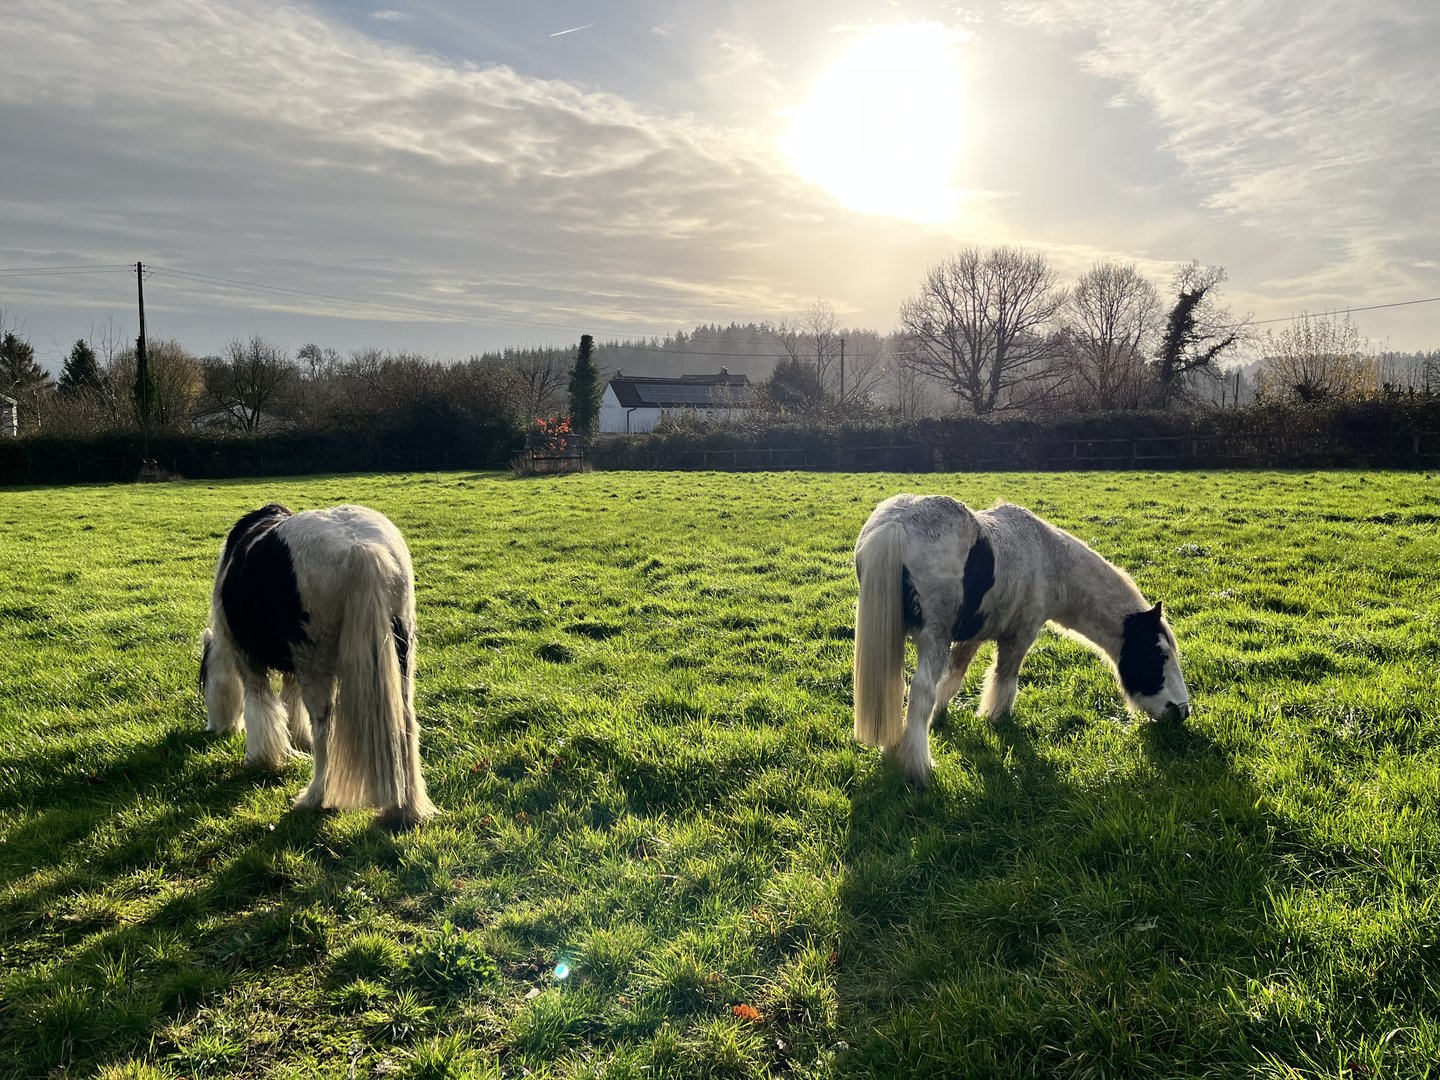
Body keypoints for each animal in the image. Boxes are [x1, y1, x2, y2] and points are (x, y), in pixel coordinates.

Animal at [201, 503, 437, 827]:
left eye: (204, 682)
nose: (214, 729)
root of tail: (363, 549)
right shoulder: (293, 664)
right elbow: (290, 700)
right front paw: (297, 741)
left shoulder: (249, 660)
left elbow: (261, 706)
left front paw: (263, 759)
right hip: (401, 657)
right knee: (406, 724)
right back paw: (406, 810)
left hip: (316, 666)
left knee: (326, 727)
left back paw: (315, 797)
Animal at [853, 494, 1190, 786]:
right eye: (1160, 655)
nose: (1182, 712)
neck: (1048, 558)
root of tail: (894, 526)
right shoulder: (1019, 634)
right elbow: (1003, 680)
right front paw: (994, 718)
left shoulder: (973, 636)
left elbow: (954, 676)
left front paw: (937, 718)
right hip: (934, 637)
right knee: (920, 691)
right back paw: (919, 768)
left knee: (894, 687)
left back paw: (894, 747)